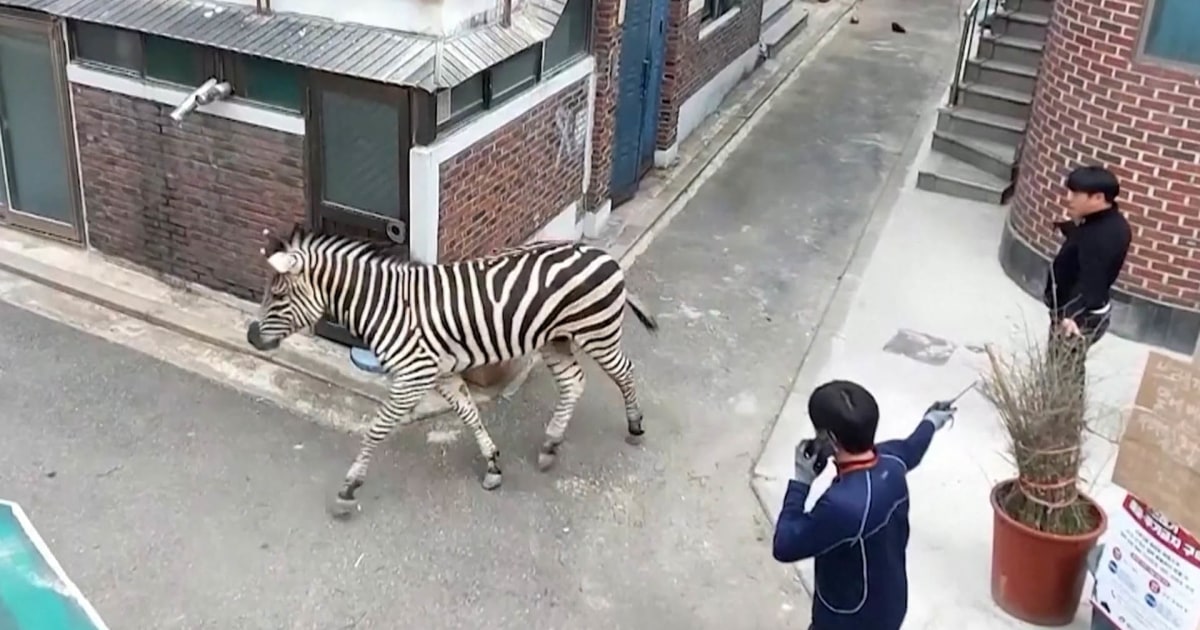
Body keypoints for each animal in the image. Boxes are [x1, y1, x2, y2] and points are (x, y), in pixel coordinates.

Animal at [245, 224, 658, 517]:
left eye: (277, 295)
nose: (250, 335)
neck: (385, 305)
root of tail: (600, 252)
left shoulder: (412, 376)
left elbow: (376, 429)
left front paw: (349, 487)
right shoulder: (440, 374)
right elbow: (469, 414)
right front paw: (492, 465)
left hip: (597, 332)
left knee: (625, 371)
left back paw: (635, 426)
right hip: (555, 339)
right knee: (574, 382)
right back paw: (550, 444)